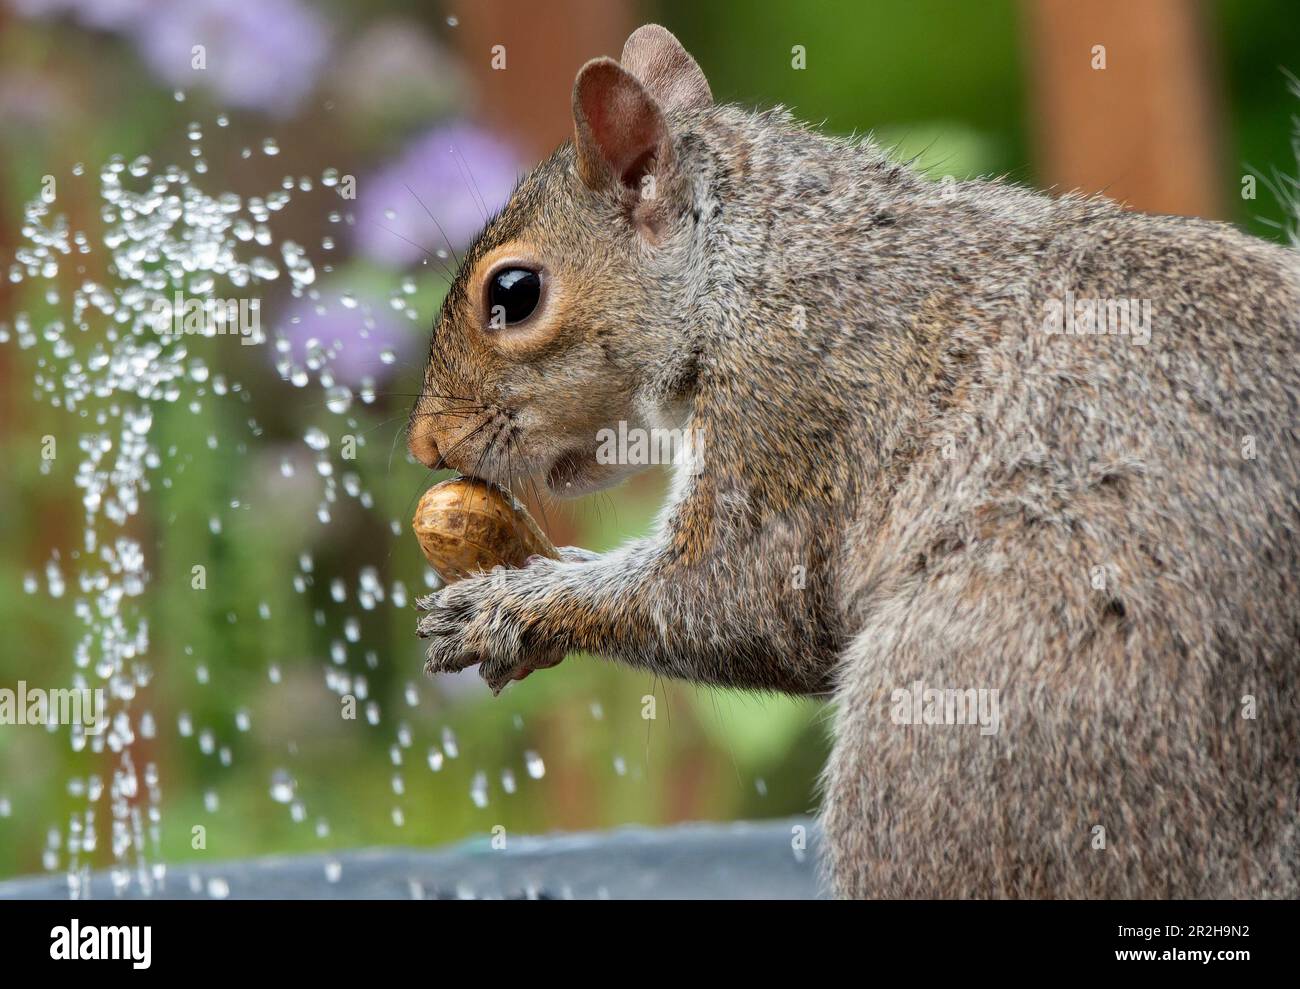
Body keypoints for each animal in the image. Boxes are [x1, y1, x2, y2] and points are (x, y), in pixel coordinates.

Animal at [407, 24, 1300, 898]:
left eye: (515, 292)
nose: (425, 443)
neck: (744, 259)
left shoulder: (793, 410)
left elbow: (733, 597)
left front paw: (508, 606)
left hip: (978, 704)